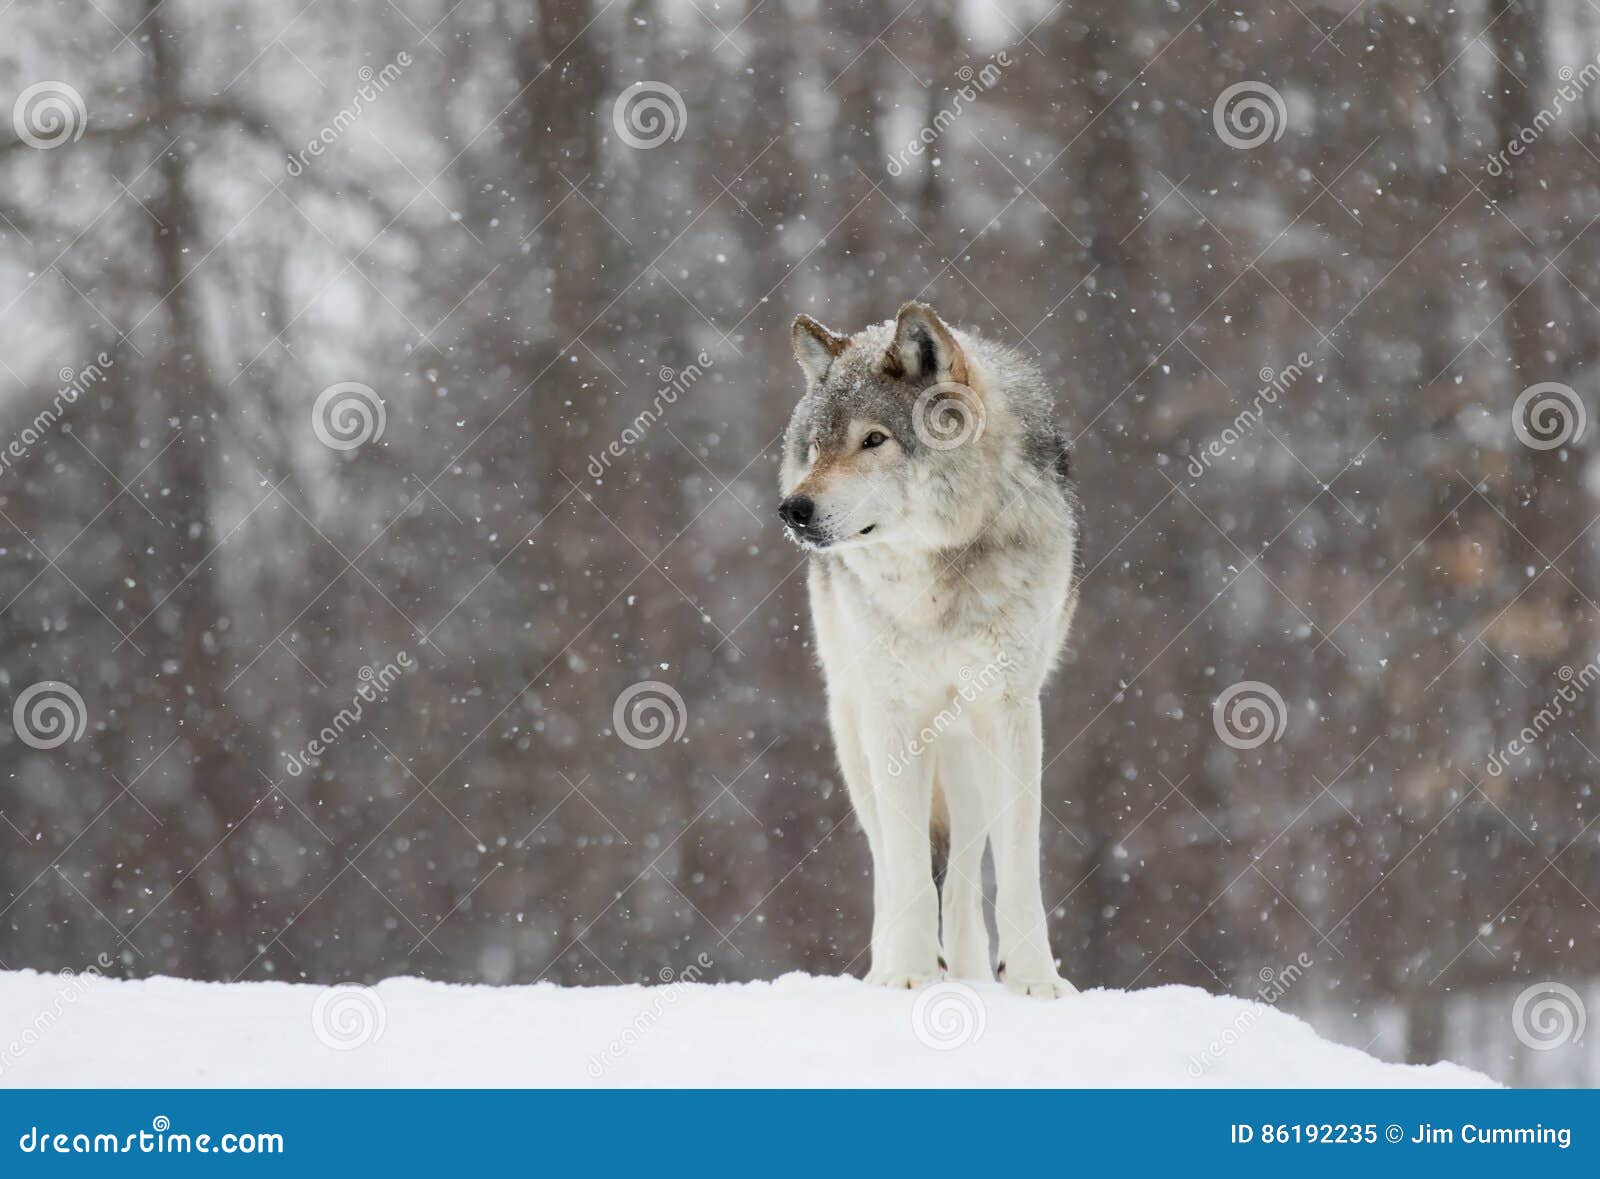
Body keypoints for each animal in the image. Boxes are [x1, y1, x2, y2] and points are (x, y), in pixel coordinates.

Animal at [779, 301, 1081, 998]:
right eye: (817, 447)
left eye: (873, 440)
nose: (793, 510)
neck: (935, 575)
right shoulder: (891, 715)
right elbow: (909, 862)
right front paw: (908, 973)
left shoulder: (1008, 711)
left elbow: (1017, 864)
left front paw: (1035, 980)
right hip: (854, 733)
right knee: (888, 859)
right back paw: (890, 964)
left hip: (963, 747)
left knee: (966, 874)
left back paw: (970, 974)